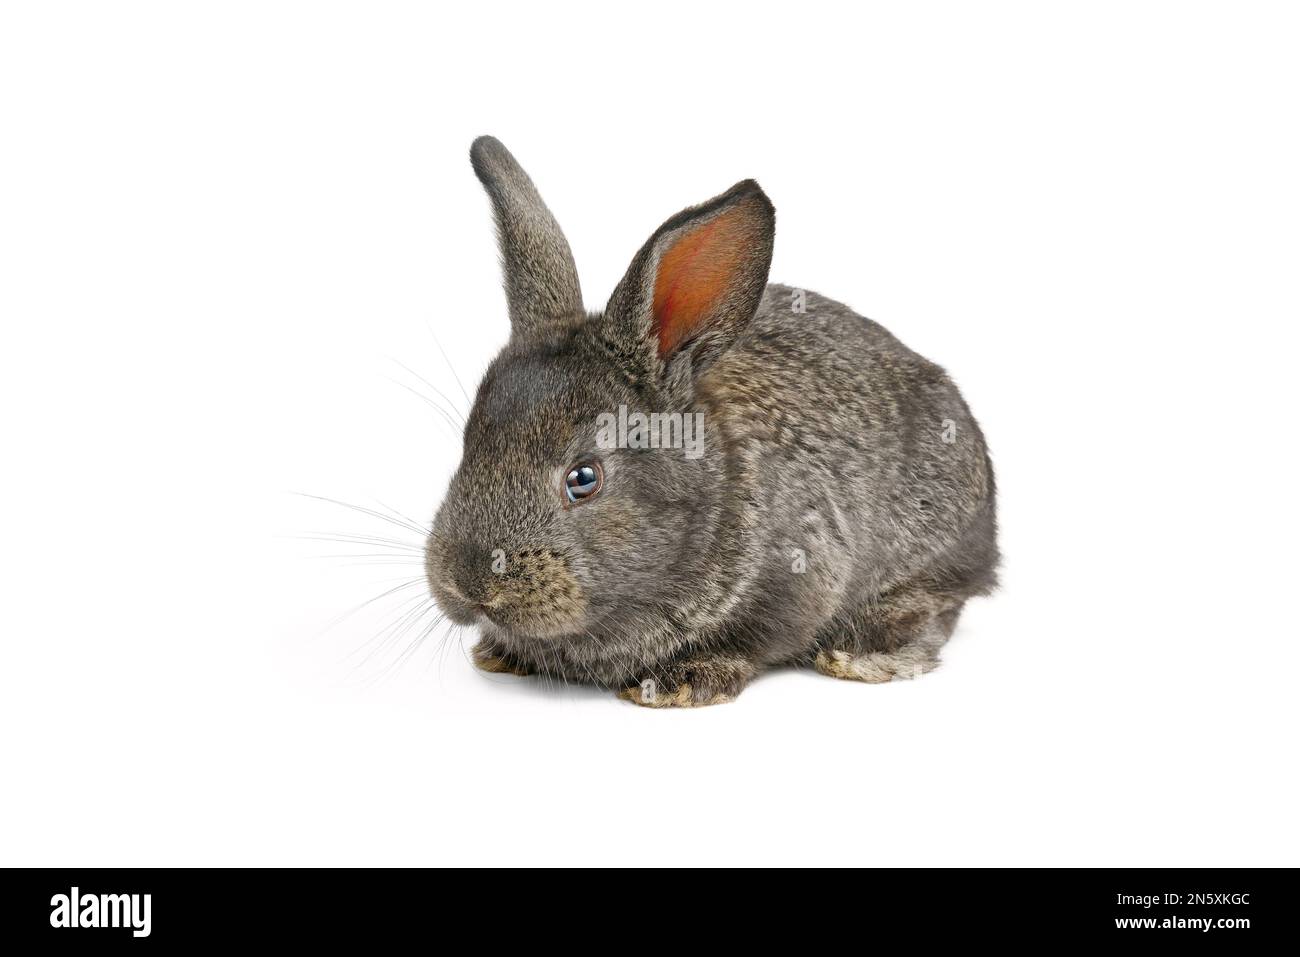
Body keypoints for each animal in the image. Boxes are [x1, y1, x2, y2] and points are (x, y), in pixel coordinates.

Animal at [425, 135, 998, 707]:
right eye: (467, 446)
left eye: (583, 478)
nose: (470, 585)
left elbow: (751, 642)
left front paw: (682, 682)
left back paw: (862, 656)